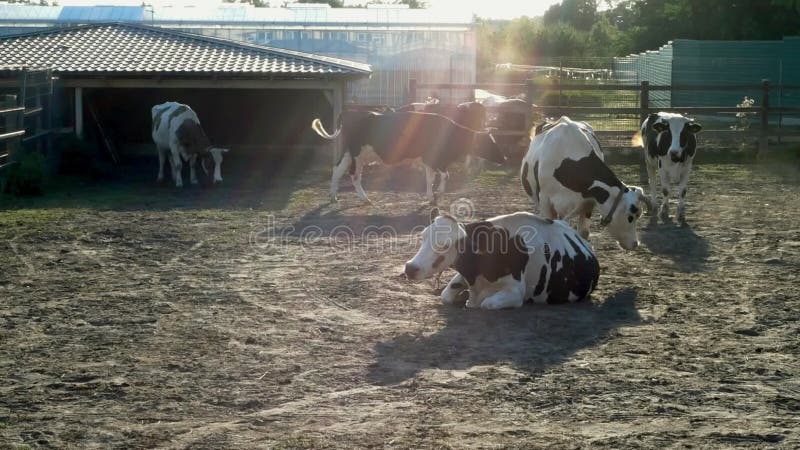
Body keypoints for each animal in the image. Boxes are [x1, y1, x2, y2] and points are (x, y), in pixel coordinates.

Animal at [311, 110, 504, 204]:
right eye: (491, 143)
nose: (505, 159)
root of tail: (349, 112)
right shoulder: (432, 158)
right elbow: (437, 177)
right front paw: (435, 194)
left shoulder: (435, 160)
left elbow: (436, 177)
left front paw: (435, 195)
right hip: (357, 154)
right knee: (354, 175)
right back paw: (364, 198)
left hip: (349, 153)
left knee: (337, 170)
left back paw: (334, 196)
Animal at [404, 208, 600, 309]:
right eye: (423, 236)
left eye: (444, 245)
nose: (410, 267)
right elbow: (446, 295)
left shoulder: (516, 292)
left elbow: (486, 303)